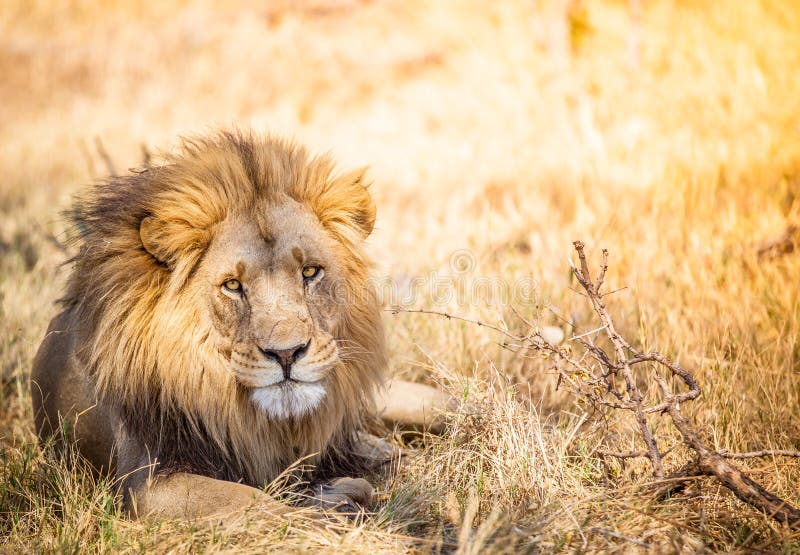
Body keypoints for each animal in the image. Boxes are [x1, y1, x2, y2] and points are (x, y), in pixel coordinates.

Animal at [31, 130, 450, 520]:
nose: (287, 353)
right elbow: (258, 503)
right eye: (232, 285)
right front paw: (333, 503)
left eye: (310, 272)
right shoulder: (144, 484)